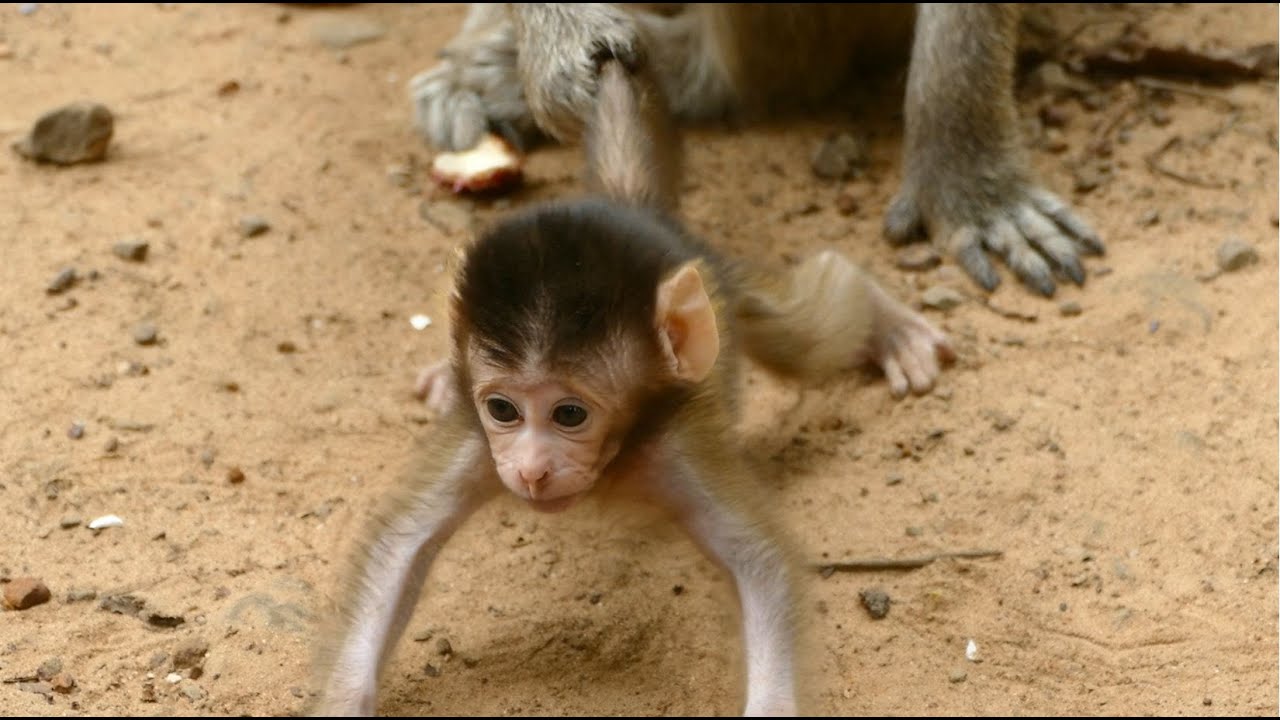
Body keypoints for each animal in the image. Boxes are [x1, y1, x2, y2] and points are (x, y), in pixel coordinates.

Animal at [311, 58, 953, 716]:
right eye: (504, 409)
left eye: (570, 415)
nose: (533, 470)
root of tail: (630, 207)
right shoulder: (479, 445)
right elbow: (402, 544)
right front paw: (342, 701)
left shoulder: (672, 441)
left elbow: (760, 562)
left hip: (716, 279)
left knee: (800, 336)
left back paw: (884, 320)